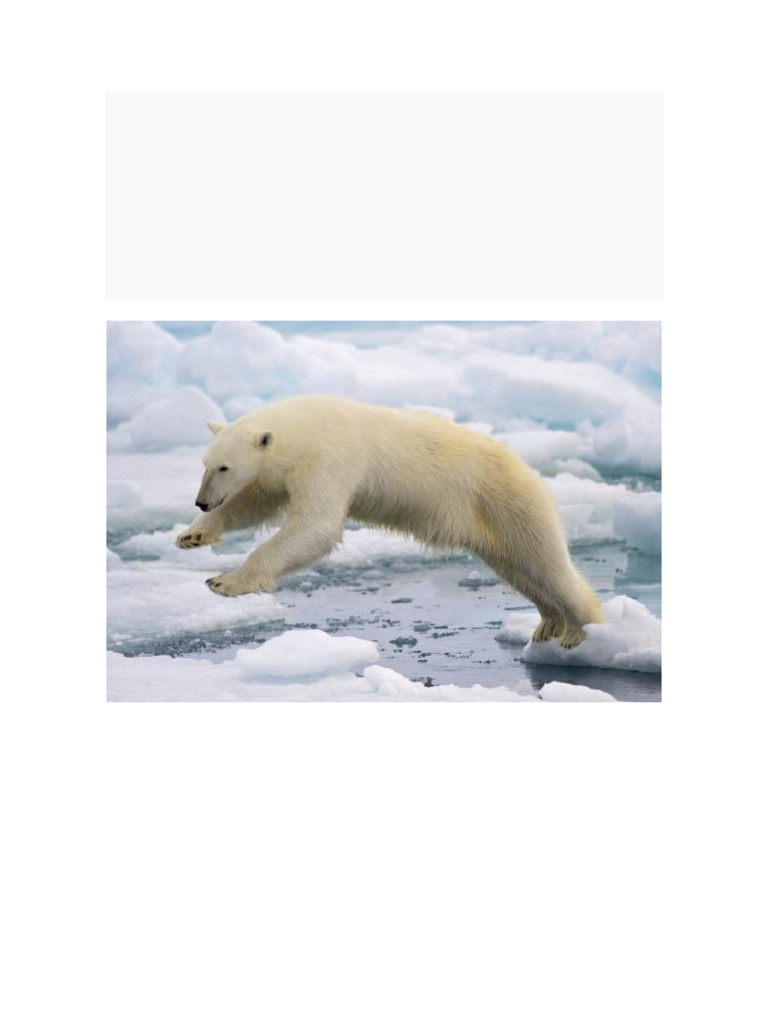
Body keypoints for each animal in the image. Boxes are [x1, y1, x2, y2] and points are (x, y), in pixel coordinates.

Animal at [176, 395, 604, 647]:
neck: (305, 426)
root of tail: (528, 470)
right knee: (518, 568)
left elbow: (316, 525)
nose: (201, 501)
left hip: (508, 501)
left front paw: (225, 581)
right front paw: (192, 535)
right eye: (205, 464)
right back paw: (549, 623)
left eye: (224, 467)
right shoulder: (284, 471)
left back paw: (580, 630)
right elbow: (256, 502)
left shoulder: (330, 458)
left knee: (546, 563)